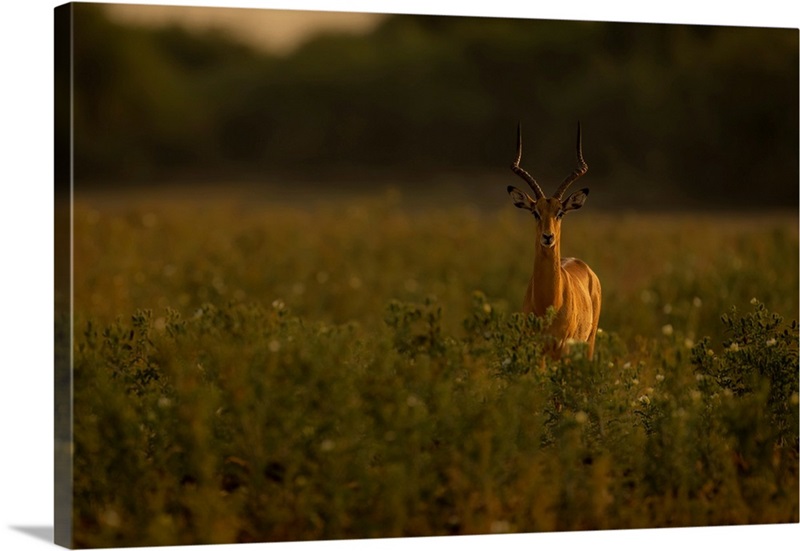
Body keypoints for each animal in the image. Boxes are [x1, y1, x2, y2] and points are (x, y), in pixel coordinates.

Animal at [506, 122, 602, 359]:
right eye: (535, 212)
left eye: (560, 212)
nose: (548, 236)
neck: (550, 302)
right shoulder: (537, 348)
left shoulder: (563, 348)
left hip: (589, 343)